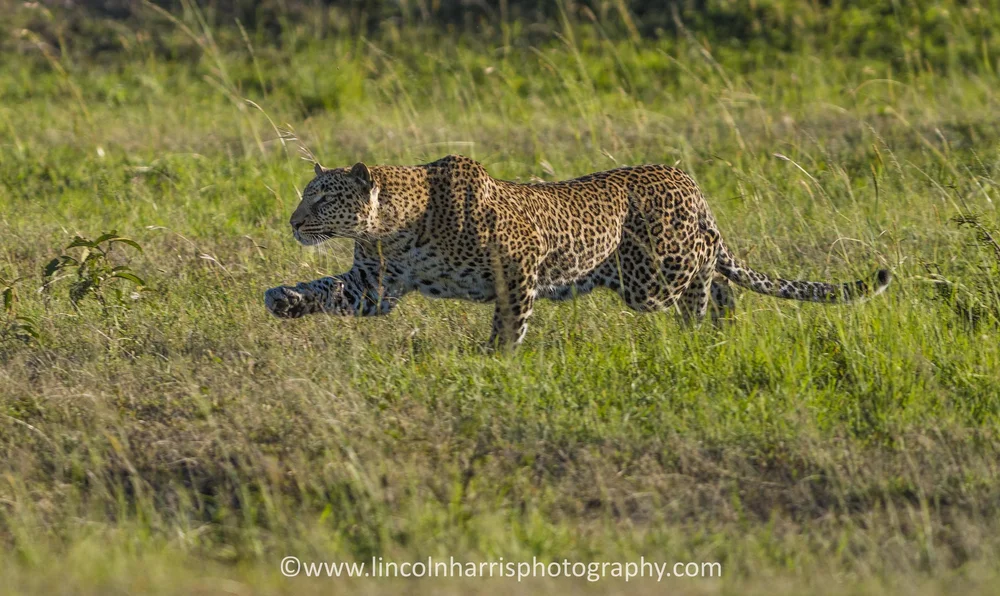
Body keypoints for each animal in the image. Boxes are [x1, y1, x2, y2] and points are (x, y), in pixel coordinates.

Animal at [265, 155, 890, 347]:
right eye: (306, 195)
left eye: (322, 198)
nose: (293, 221)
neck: (391, 228)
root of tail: (686, 179)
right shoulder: (375, 287)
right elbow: (327, 291)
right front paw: (283, 298)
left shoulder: (519, 266)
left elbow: (508, 324)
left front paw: (494, 363)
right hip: (644, 278)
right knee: (717, 285)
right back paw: (717, 331)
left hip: (652, 276)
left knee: (708, 266)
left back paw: (703, 322)